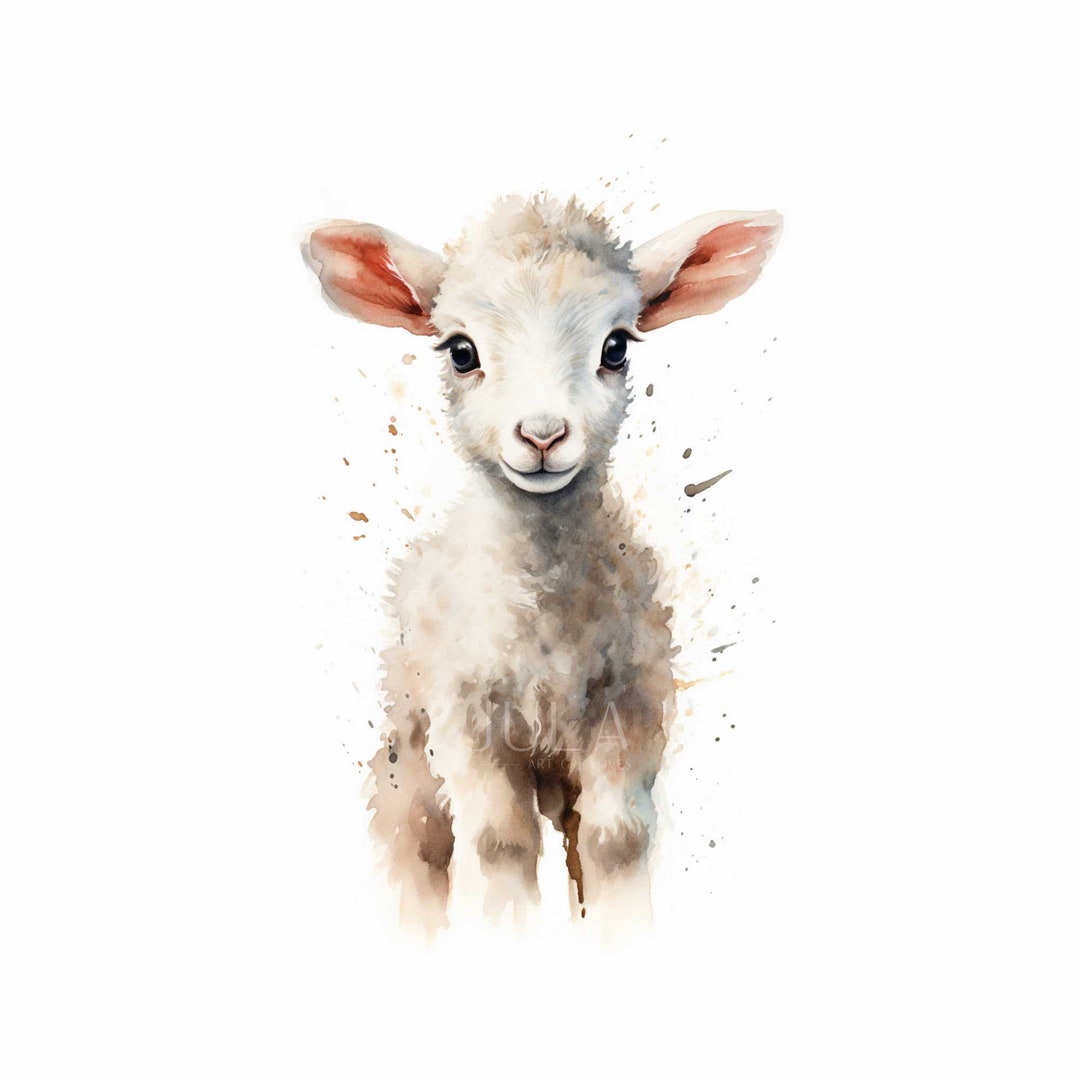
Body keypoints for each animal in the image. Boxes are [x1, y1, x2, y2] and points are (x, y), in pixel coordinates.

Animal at [304, 195, 781, 933]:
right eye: (461, 351)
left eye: (616, 347)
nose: (543, 435)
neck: (545, 628)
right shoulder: (468, 716)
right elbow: (499, 843)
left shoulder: (629, 706)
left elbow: (617, 839)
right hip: (407, 741)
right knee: (416, 836)